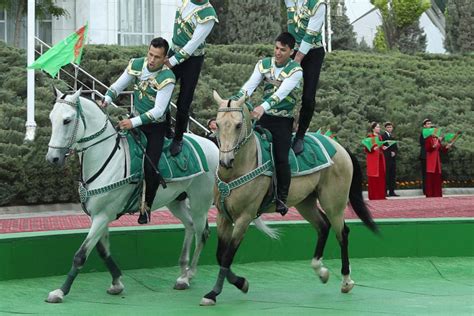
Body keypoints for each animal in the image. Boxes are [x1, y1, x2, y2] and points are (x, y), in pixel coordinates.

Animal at [45, 87, 219, 304]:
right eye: (51, 118)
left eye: (67, 120)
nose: (52, 158)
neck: (106, 156)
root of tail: (212, 144)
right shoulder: (98, 215)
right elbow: (103, 250)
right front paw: (117, 282)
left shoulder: (103, 216)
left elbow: (81, 254)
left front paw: (60, 291)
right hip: (176, 201)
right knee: (189, 226)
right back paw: (183, 272)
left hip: (199, 202)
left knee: (202, 232)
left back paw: (188, 276)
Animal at [199, 91, 378, 306]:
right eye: (217, 124)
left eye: (238, 125)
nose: (226, 161)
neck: (237, 169)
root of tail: (338, 146)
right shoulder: (223, 216)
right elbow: (220, 255)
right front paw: (240, 283)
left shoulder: (244, 217)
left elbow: (227, 256)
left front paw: (215, 292)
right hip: (305, 203)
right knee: (323, 226)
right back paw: (321, 271)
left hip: (334, 203)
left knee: (342, 233)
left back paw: (346, 280)